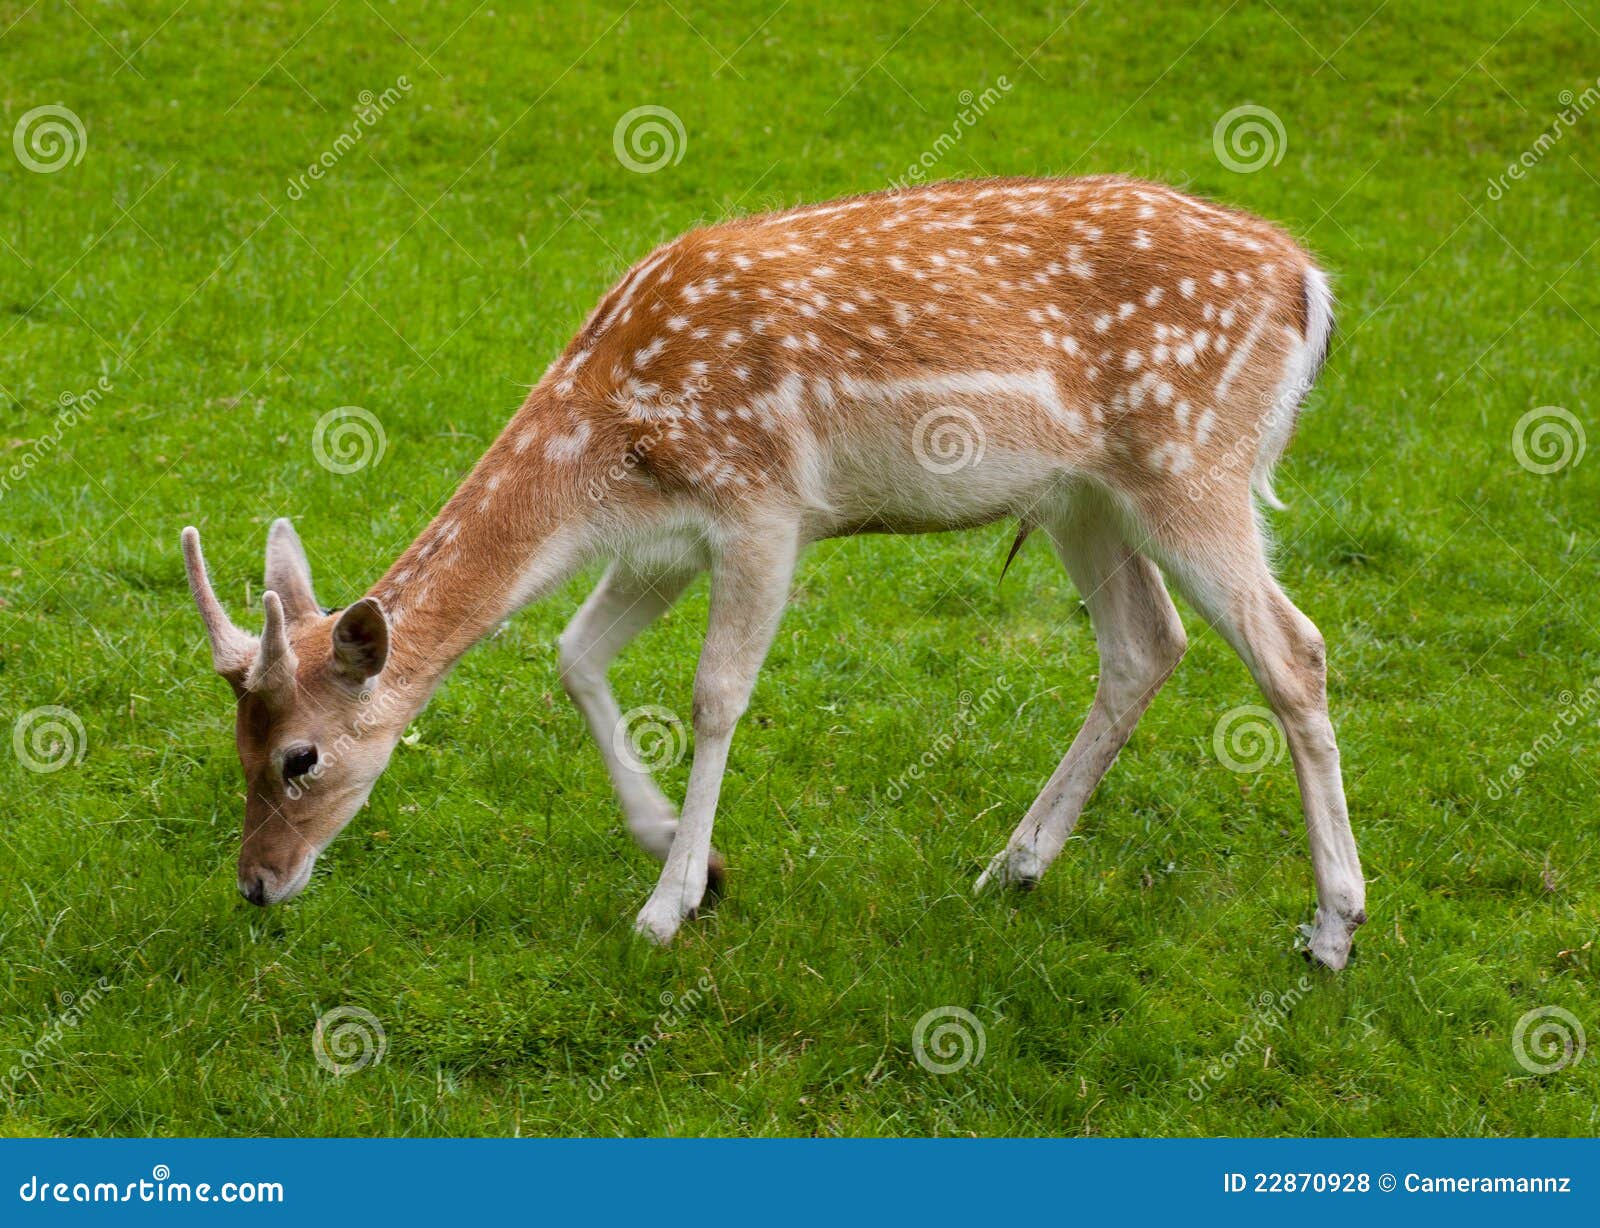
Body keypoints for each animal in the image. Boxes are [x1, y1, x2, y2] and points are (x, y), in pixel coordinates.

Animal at [182, 175, 1367, 969]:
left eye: (298, 758)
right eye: (233, 746)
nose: (255, 883)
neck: (609, 448)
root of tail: (1309, 281)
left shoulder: (762, 508)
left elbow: (714, 696)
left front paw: (664, 908)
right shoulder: (662, 541)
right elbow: (572, 656)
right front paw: (686, 855)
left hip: (1191, 462)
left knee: (1294, 648)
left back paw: (1332, 927)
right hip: (1085, 493)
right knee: (1144, 643)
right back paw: (1013, 866)